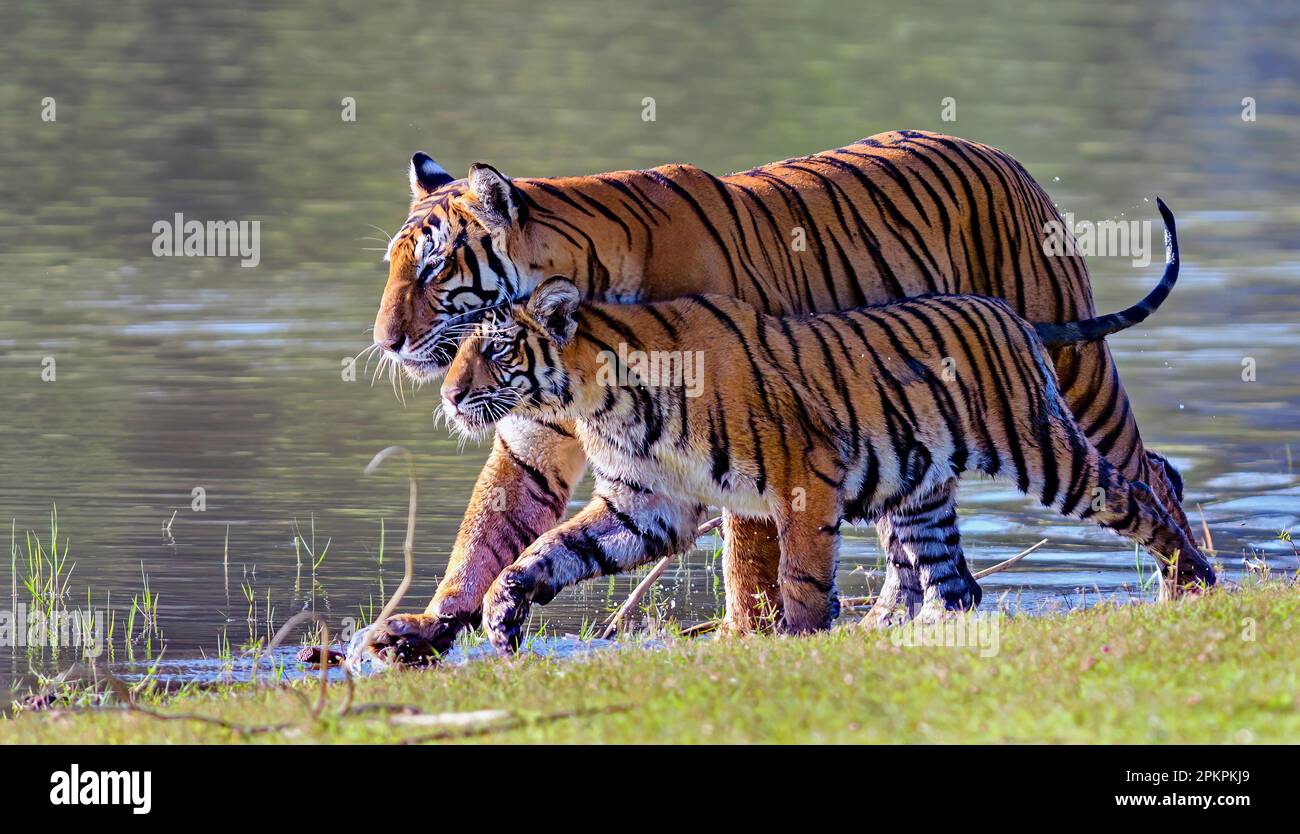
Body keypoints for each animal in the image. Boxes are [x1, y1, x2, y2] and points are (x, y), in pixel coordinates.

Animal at [369, 130, 1207, 658]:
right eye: (394, 264)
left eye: (434, 270)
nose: (385, 343)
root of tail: (1004, 156)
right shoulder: (537, 438)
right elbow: (489, 533)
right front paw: (423, 630)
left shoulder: (743, 426)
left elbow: (751, 552)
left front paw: (747, 637)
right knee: (923, 543)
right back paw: (885, 623)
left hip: (1073, 372)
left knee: (1150, 476)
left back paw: (1189, 587)